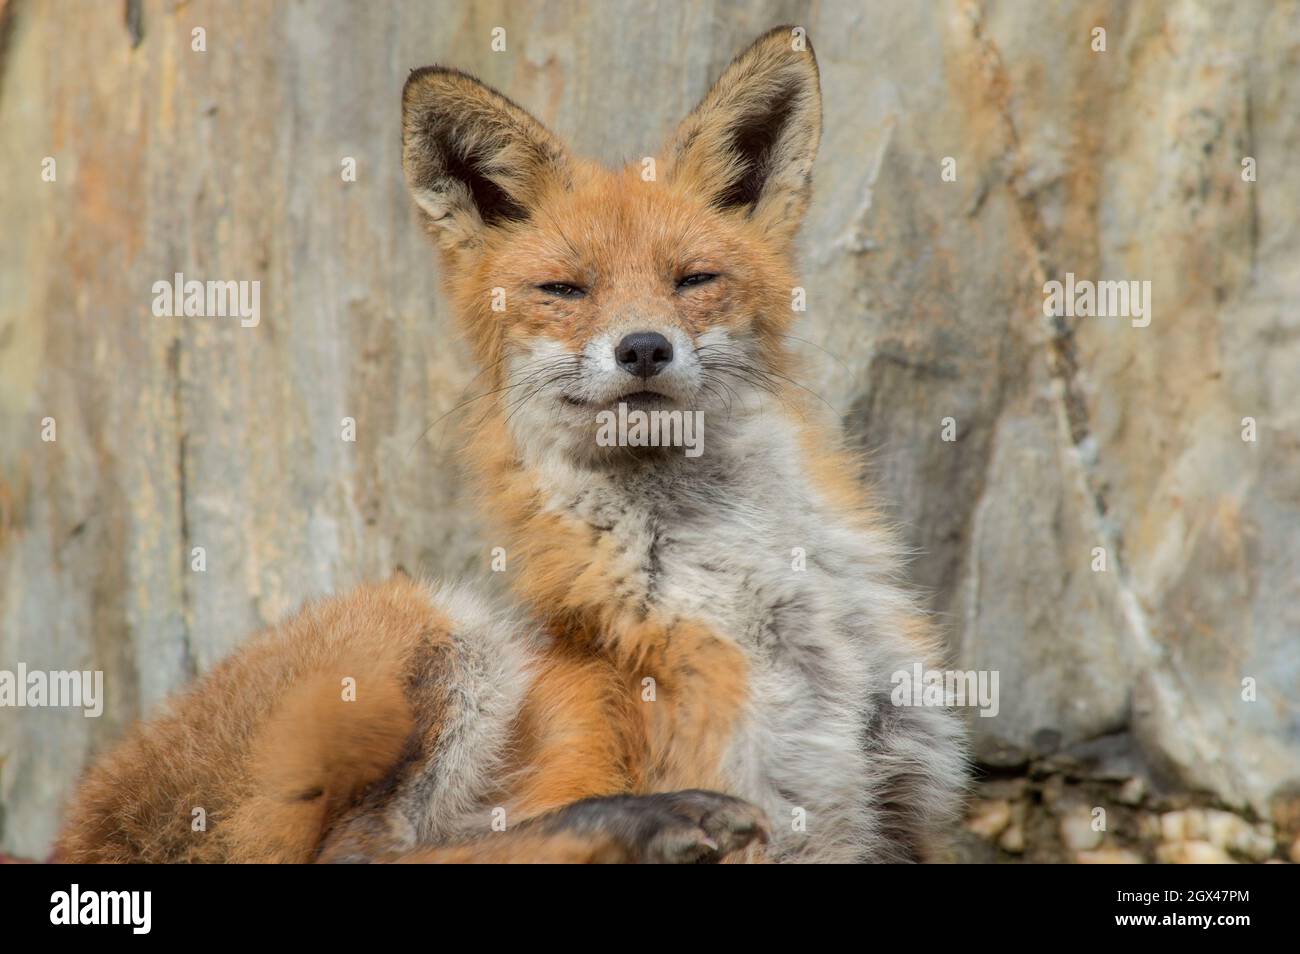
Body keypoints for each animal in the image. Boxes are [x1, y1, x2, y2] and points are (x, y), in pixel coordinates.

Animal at [55, 26, 967, 864]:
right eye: (563, 290)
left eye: (694, 279)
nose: (643, 347)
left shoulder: (888, 819)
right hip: (435, 625)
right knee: (366, 851)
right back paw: (641, 825)